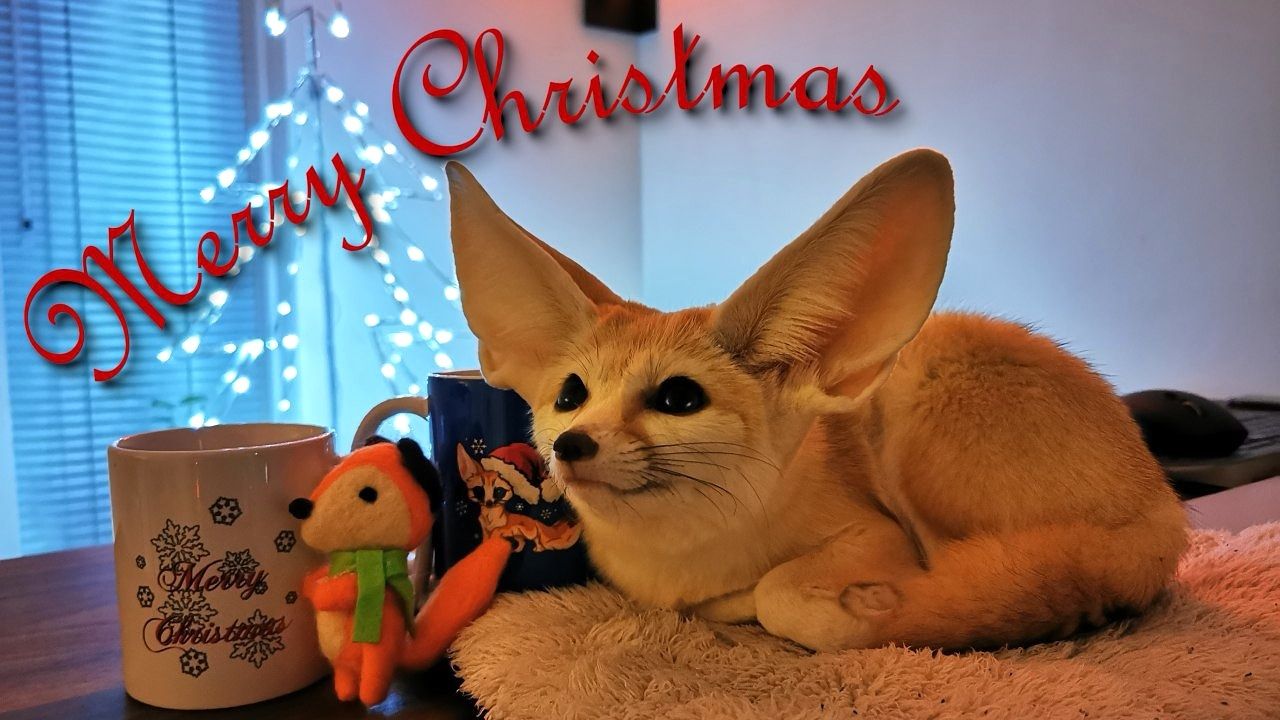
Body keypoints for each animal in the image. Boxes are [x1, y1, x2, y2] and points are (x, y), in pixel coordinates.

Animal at [443, 149, 1189, 651]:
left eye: (679, 398)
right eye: (571, 395)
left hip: (917, 417)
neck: (682, 558)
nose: (573, 445)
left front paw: (825, 604)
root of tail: (1163, 506)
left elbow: (779, 593)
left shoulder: (877, 533)